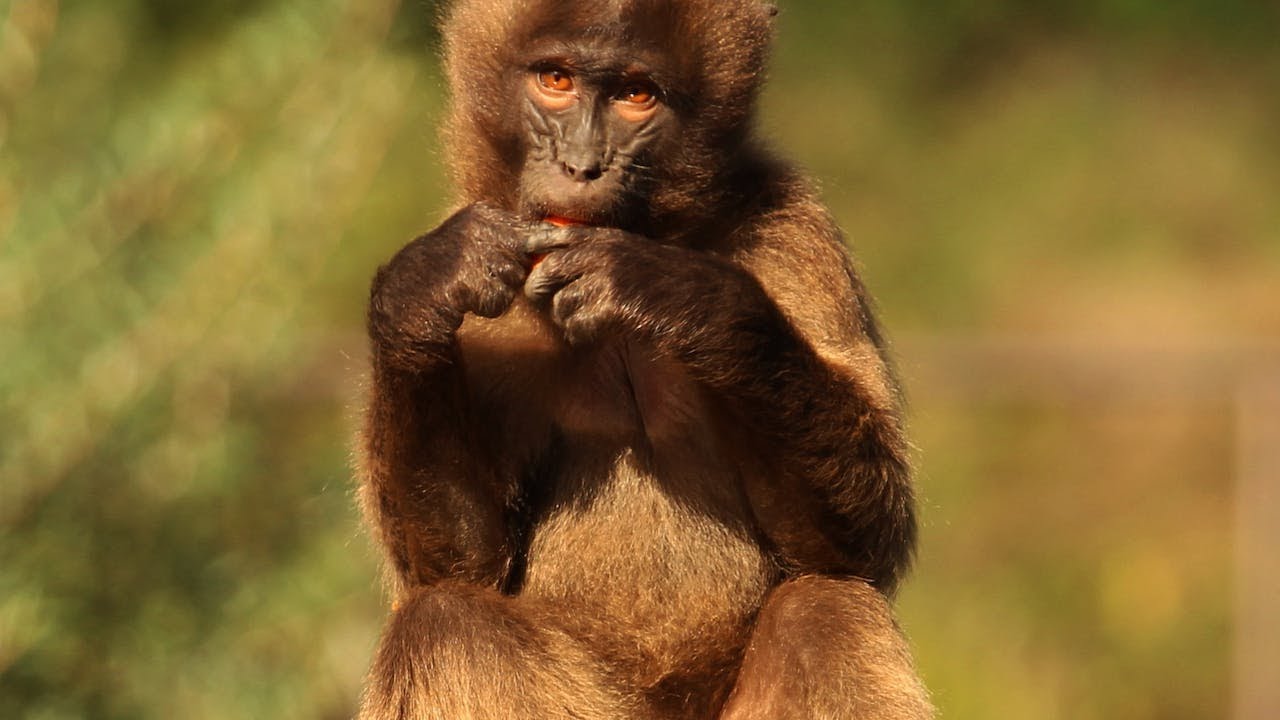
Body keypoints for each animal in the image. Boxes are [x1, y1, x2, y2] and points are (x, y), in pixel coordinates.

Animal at [355, 1, 933, 718]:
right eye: (555, 80)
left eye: (637, 95)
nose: (580, 167)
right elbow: (461, 563)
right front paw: (423, 292)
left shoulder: (791, 226)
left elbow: (860, 542)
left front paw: (673, 296)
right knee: (445, 622)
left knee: (821, 606)